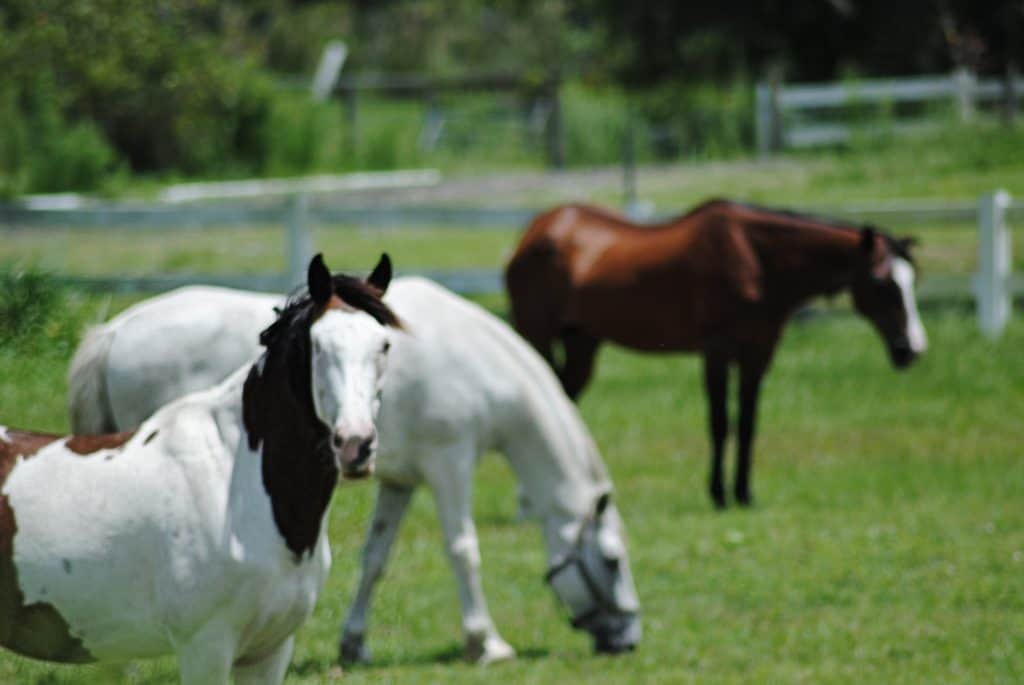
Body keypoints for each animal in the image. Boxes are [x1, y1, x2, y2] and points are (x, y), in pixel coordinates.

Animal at [0, 254, 398, 684]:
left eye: (384, 345)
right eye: (318, 346)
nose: (356, 443)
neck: (235, 483)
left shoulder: (269, 652)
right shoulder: (205, 648)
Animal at [68, 277, 642, 665]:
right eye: (612, 561)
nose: (627, 639)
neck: (479, 363)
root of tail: (117, 329)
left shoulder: (399, 482)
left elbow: (375, 559)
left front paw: (354, 643)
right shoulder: (450, 464)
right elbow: (464, 550)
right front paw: (486, 643)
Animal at [505, 199, 928, 509]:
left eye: (912, 280)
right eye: (880, 281)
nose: (911, 348)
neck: (758, 259)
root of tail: (535, 231)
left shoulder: (758, 354)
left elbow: (748, 423)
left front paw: (744, 493)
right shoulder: (717, 352)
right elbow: (721, 422)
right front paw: (719, 494)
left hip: (583, 344)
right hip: (536, 337)